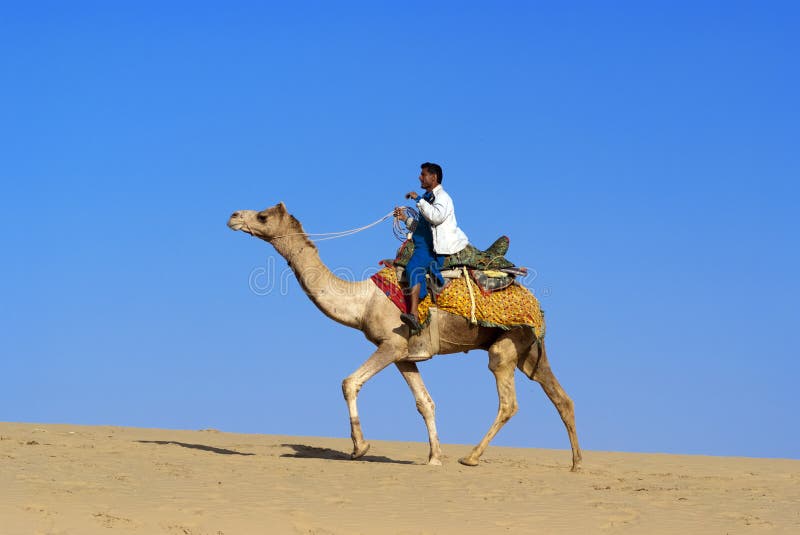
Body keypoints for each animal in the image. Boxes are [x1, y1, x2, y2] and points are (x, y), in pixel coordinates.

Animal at [227, 203, 582, 471]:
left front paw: (360, 447)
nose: (233, 216)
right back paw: (576, 463)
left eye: (263, 216)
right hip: (529, 350)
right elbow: (425, 402)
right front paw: (434, 457)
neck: (362, 301)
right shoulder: (404, 356)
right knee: (560, 396)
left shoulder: (391, 344)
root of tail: (537, 305)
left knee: (508, 402)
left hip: (505, 348)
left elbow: (349, 382)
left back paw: (471, 457)